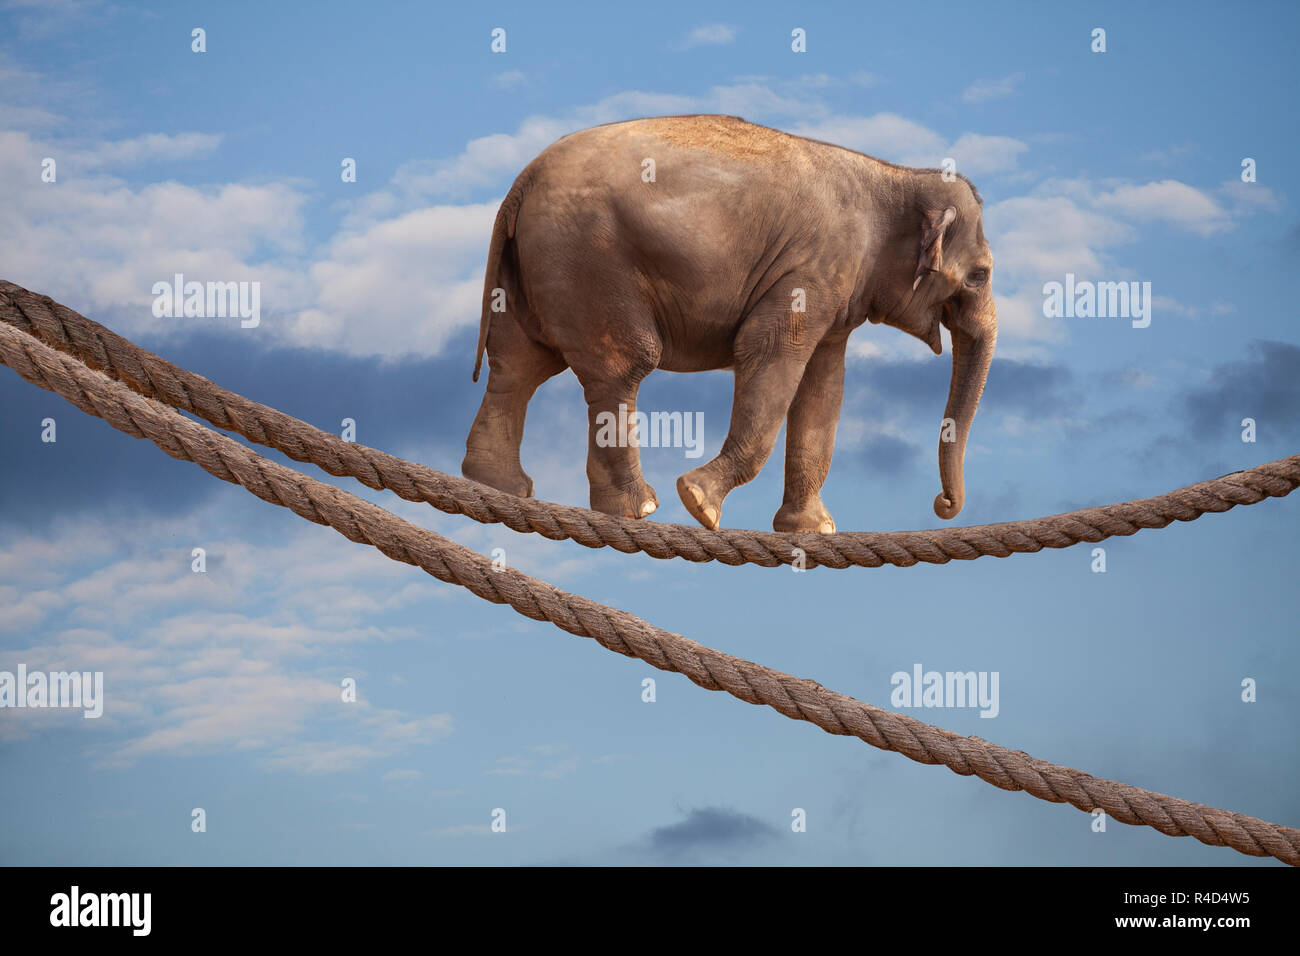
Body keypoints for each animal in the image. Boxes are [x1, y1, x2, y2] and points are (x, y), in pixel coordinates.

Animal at [462, 114, 997, 533]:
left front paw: (810, 530)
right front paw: (700, 504)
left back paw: (498, 486)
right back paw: (639, 508)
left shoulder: (836, 291)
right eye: (981, 275)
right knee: (623, 366)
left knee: (519, 366)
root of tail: (522, 182)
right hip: (588, 260)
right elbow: (768, 354)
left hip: (531, 270)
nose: (943, 503)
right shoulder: (810, 271)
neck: (895, 176)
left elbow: (824, 386)